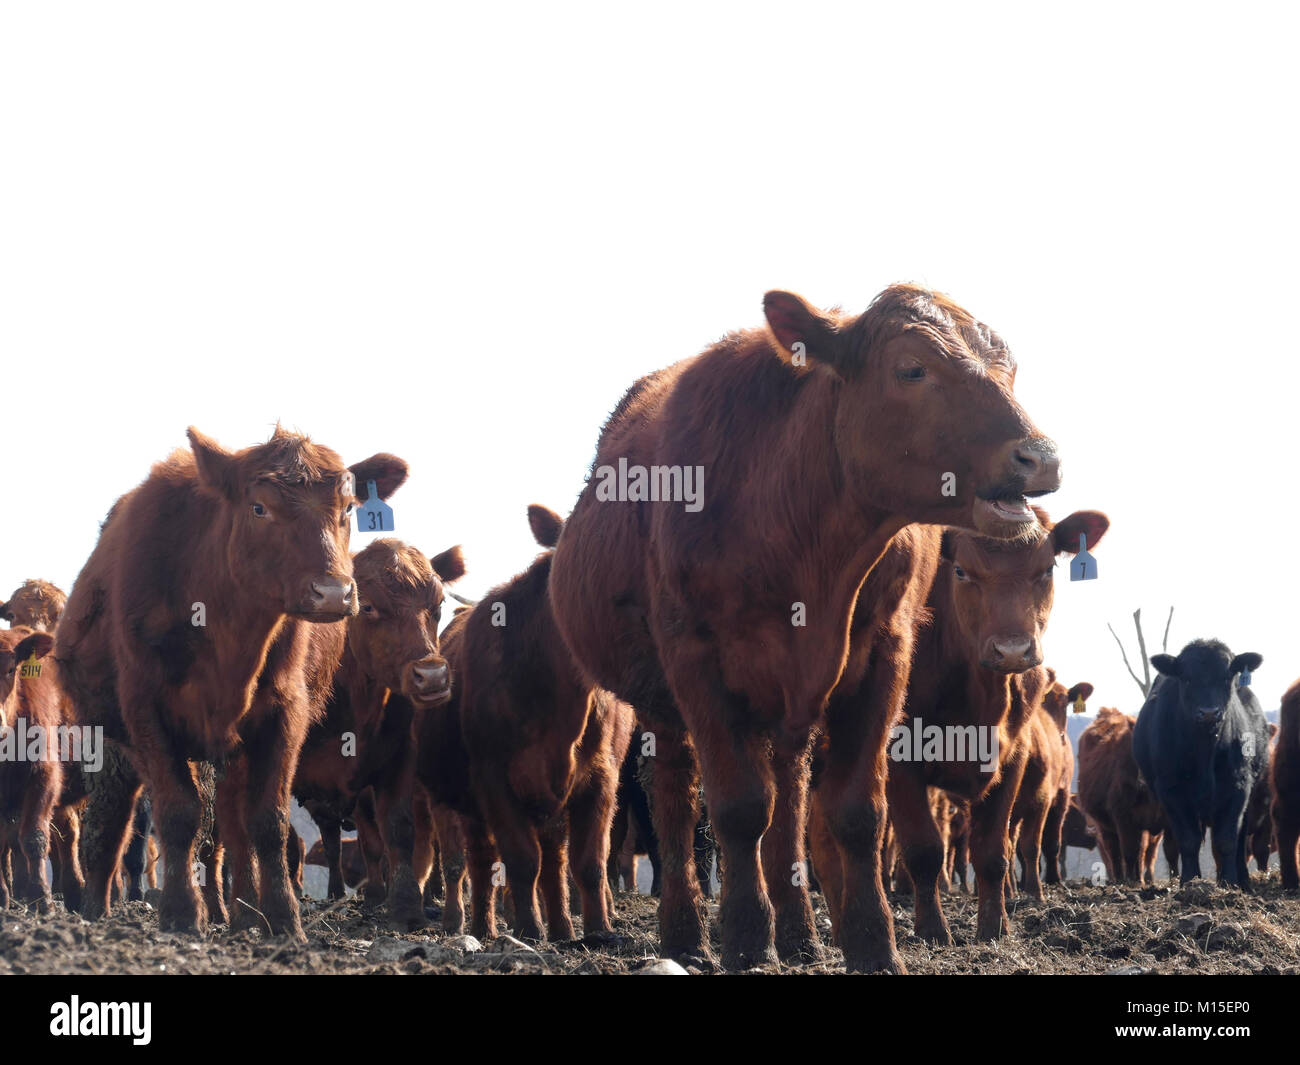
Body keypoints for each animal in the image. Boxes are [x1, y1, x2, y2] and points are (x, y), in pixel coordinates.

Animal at [53, 426, 408, 940]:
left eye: (347, 509)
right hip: (111, 740)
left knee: (234, 829)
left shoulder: (283, 714)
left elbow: (267, 821)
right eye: (259, 508)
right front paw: (181, 914)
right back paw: (96, 911)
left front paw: (283, 919)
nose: (333, 592)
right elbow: (179, 813)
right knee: (112, 815)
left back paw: (241, 916)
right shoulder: (147, 714)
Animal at [549, 284, 1062, 972]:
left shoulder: (883, 655)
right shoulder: (696, 659)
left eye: (1009, 368)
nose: (1041, 457)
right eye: (912, 369)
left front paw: (874, 944)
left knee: (790, 802)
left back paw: (799, 933)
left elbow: (856, 813)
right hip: (663, 707)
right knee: (677, 800)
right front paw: (745, 940)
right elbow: (738, 809)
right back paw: (686, 933)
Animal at [1076, 706, 1165, 884]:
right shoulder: (1124, 818)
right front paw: (1133, 881)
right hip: (1105, 826)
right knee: (1115, 853)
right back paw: (1119, 879)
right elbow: (1130, 851)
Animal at [1132, 639, 1268, 888]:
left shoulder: (1238, 787)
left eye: (1226, 677)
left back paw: (1242, 879)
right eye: (1186, 678)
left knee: (1240, 836)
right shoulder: (1171, 791)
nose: (1209, 713)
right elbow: (1188, 840)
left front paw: (1230, 882)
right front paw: (1189, 881)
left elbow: (1227, 839)